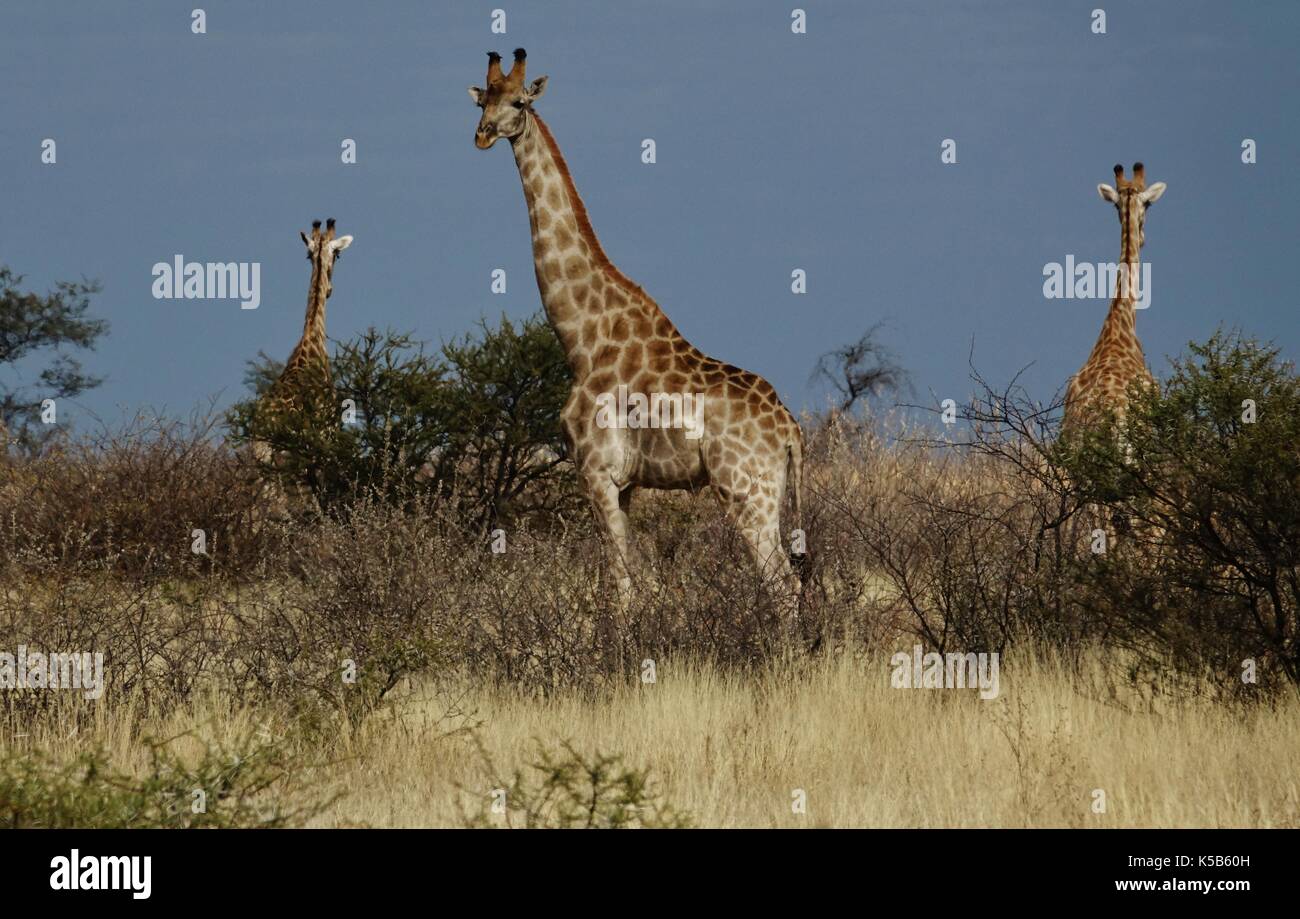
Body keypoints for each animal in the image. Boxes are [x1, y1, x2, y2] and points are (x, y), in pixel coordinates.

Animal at [469, 49, 804, 613]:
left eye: (518, 102)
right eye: (482, 101)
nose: (482, 135)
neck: (582, 336)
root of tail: (790, 430)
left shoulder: (596, 471)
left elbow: (623, 589)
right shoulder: (623, 484)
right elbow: (623, 584)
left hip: (744, 492)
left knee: (783, 584)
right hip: (768, 494)